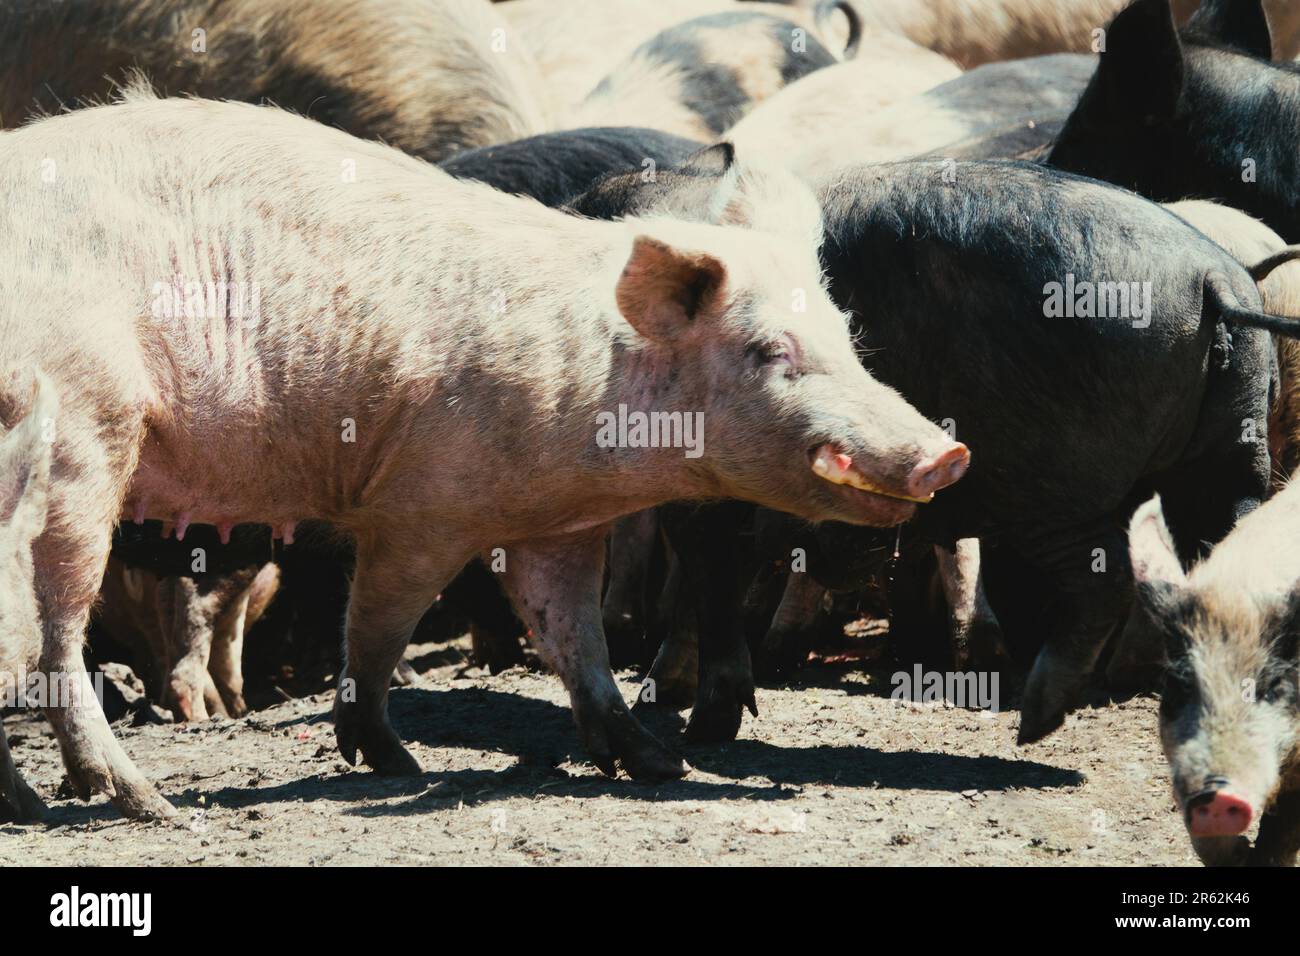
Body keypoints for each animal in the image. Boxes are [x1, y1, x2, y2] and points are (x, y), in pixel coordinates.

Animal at [1, 90, 967, 817]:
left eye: (846, 336)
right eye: (771, 352)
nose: (945, 456)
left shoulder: (558, 523)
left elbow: (573, 637)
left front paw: (656, 763)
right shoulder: (420, 503)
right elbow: (379, 626)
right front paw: (395, 763)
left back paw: (53, 800)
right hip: (81, 439)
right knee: (56, 636)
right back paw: (141, 801)